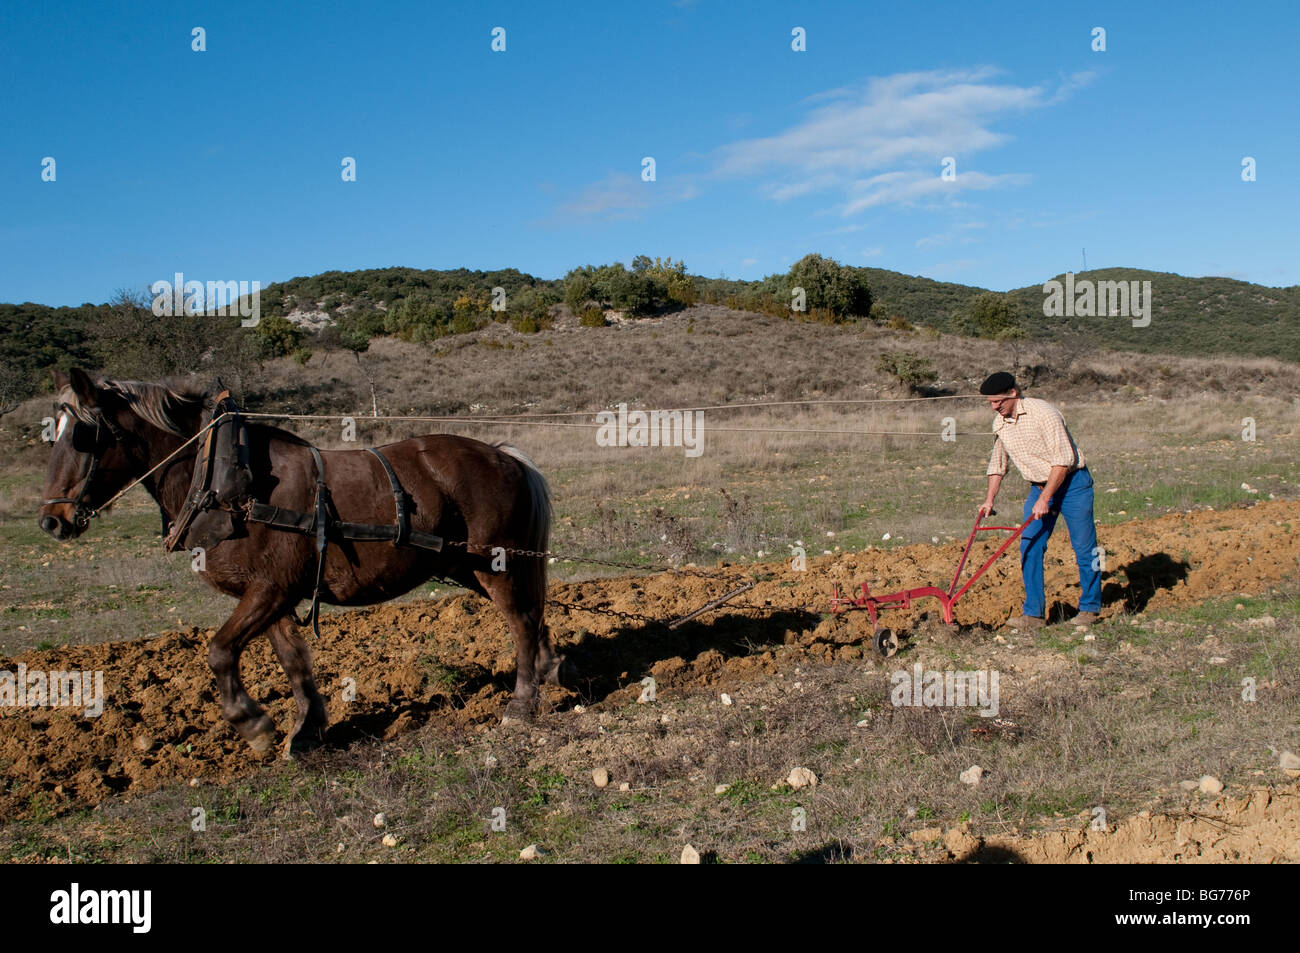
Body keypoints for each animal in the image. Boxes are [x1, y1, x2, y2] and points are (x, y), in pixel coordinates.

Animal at [38, 368, 567, 756]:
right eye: (52, 436)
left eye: (84, 435)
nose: (52, 520)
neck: (227, 483)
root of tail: (504, 455)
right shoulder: (272, 596)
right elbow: (293, 661)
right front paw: (306, 729)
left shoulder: (268, 591)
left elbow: (219, 651)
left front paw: (253, 725)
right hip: (468, 567)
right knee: (533, 614)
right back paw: (549, 670)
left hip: (494, 565)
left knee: (520, 621)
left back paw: (522, 703)